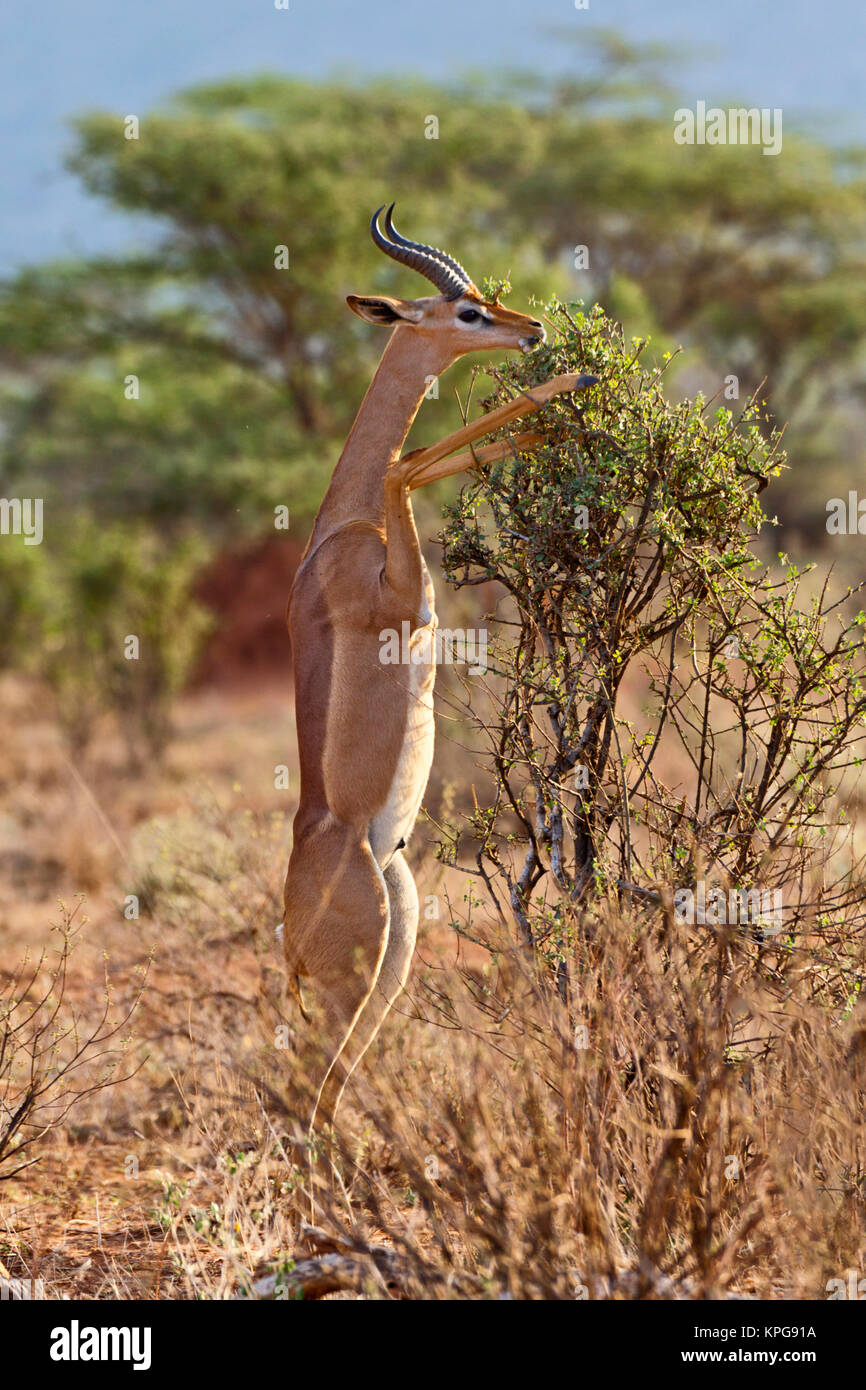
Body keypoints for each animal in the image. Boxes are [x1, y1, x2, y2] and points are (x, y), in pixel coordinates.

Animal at [280, 205, 595, 1127]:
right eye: (466, 312)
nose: (532, 331)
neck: (336, 537)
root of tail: (288, 935)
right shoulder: (405, 602)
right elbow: (404, 466)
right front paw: (563, 392)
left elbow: (409, 464)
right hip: (350, 981)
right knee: (304, 1095)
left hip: (395, 951)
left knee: (327, 1092)